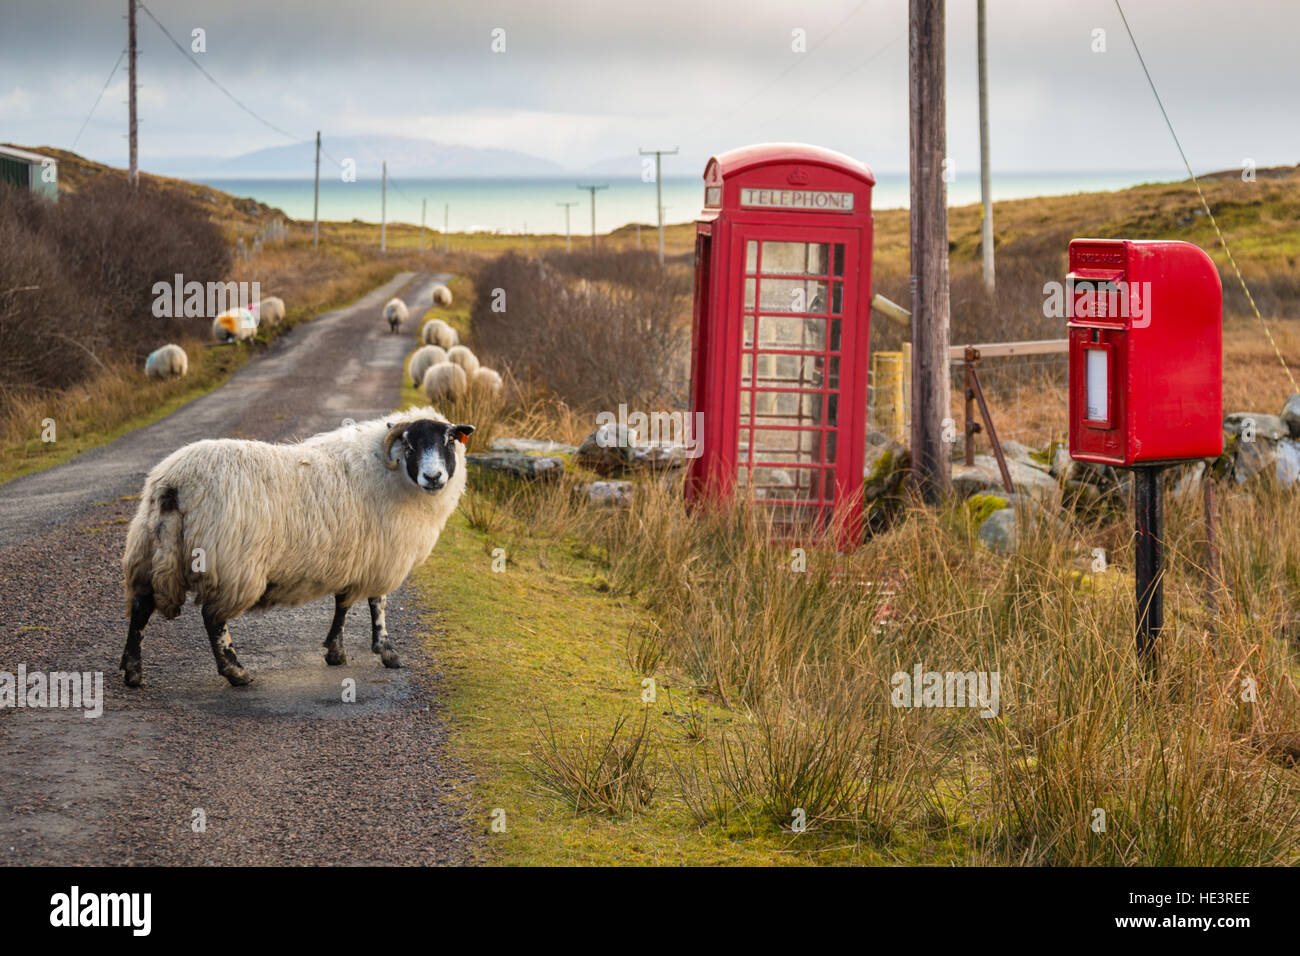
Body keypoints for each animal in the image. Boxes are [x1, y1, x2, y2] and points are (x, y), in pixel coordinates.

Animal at [119, 406, 476, 687]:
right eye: (410, 445)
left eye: (449, 441)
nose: (434, 477)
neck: (389, 471)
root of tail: (173, 485)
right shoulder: (382, 556)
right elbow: (378, 604)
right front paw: (387, 652)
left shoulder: (353, 556)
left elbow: (343, 603)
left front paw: (335, 651)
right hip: (230, 563)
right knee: (213, 618)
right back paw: (236, 672)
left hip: (148, 550)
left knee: (140, 606)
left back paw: (133, 671)